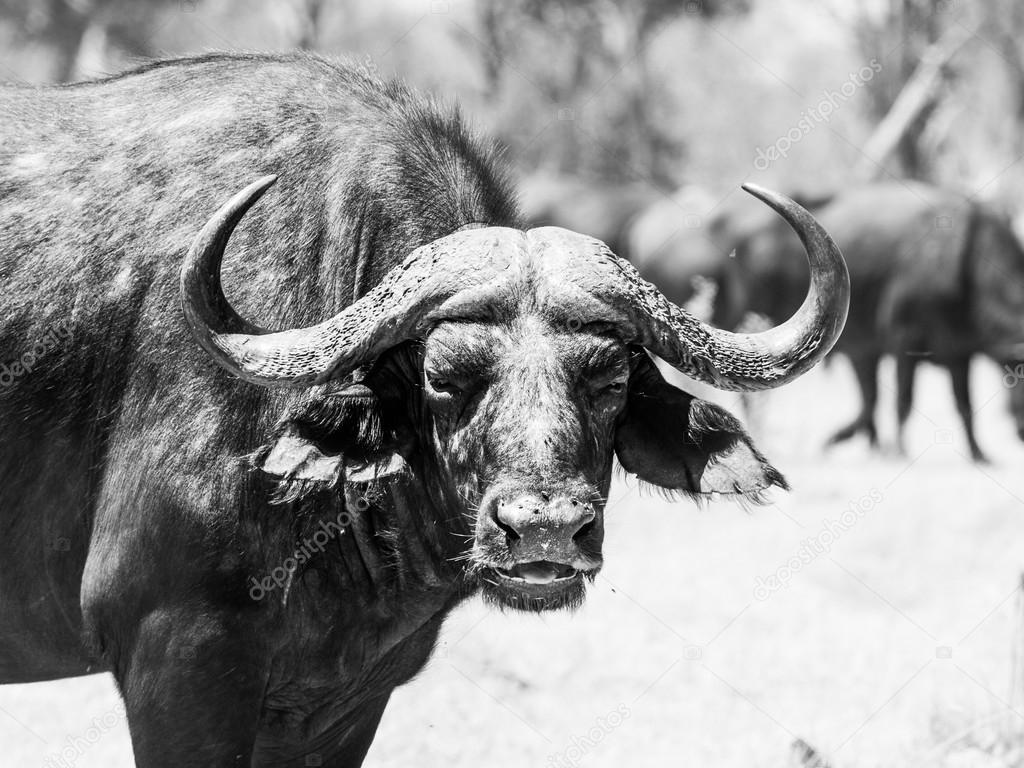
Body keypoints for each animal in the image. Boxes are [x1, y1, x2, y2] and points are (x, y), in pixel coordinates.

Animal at [732, 180, 1024, 460]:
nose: (1020, 433)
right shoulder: (904, 341)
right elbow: (903, 400)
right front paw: (898, 449)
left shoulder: (960, 351)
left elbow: (965, 405)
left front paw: (979, 453)